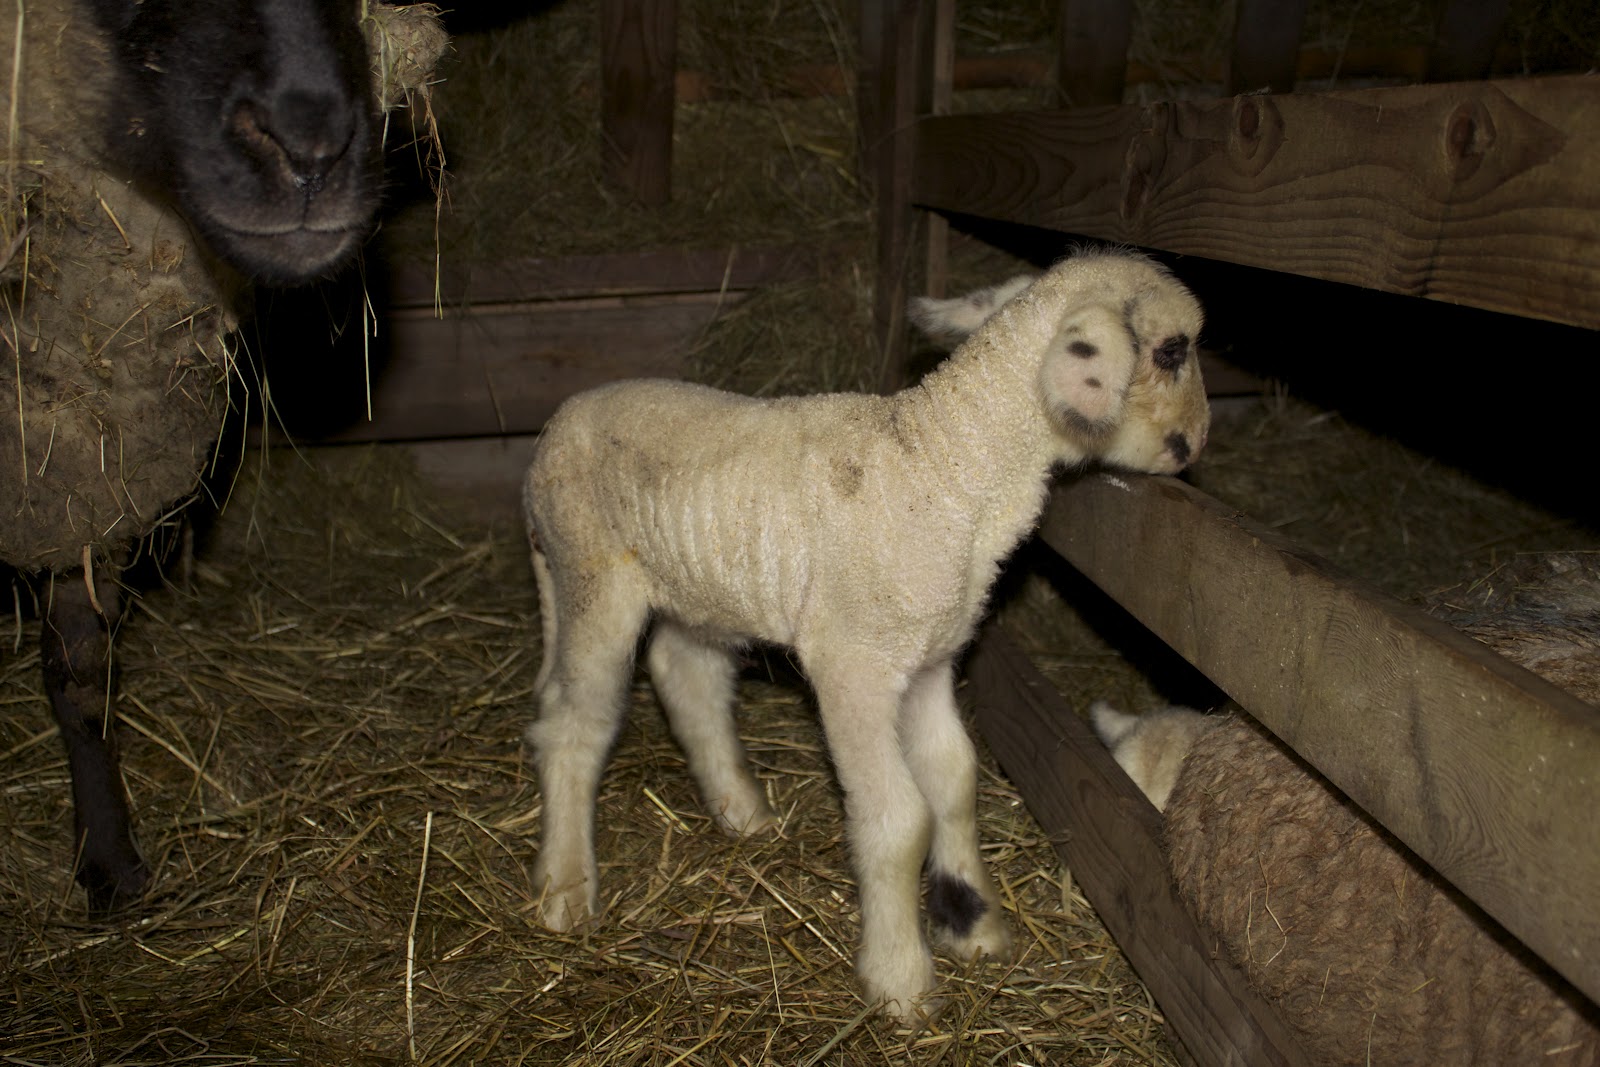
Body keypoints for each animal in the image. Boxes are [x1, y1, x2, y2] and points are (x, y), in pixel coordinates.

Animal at [521, 249, 1211, 1019]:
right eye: (1172, 350)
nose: (1198, 441)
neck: (944, 469)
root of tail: (550, 434)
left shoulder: (930, 660)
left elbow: (955, 779)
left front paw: (970, 922)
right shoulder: (854, 666)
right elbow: (901, 819)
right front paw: (900, 978)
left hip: (697, 588)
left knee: (686, 677)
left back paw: (744, 813)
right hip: (589, 572)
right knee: (573, 724)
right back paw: (565, 892)